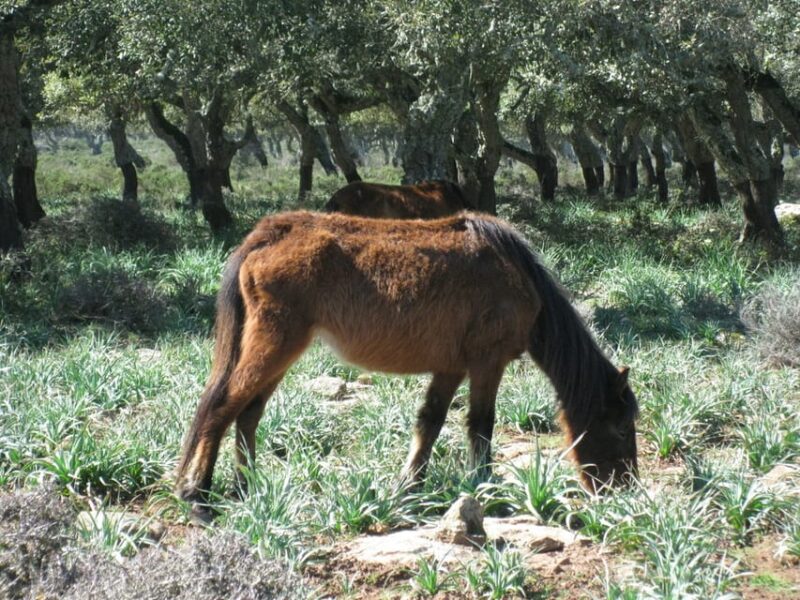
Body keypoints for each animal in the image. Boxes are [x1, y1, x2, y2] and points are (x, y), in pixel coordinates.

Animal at [175, 211, 639, 515]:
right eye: (619, 426)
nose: (624, 490)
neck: (519, 277)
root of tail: (270, 233)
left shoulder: (452, 367)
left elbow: (429, 423)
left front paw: (409, 486)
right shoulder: (487, 363)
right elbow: (481, 425)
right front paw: (483, 485)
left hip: (279, 351)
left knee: (248, 413)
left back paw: (247, 487)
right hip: (274, 345)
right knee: (221, 409)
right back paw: (198, 498)